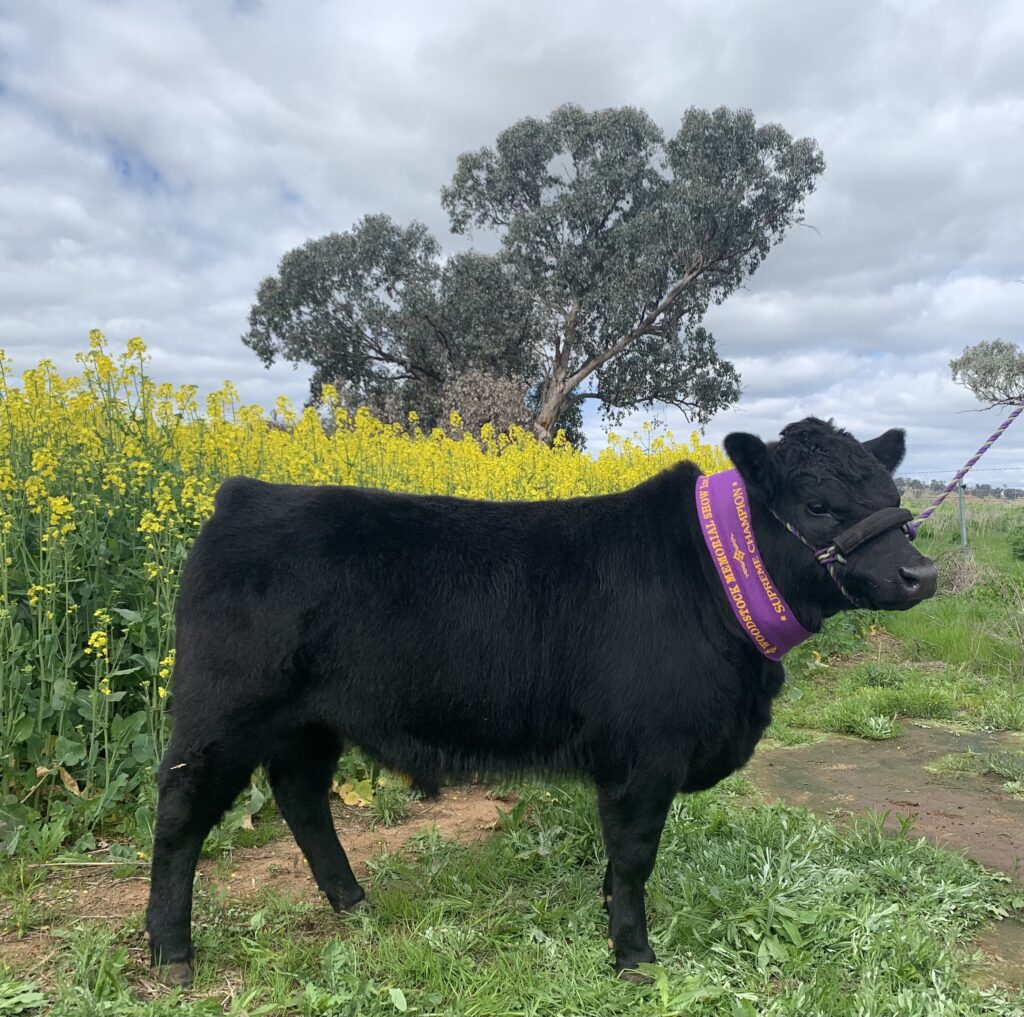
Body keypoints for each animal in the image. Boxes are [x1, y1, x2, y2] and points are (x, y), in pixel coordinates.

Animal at [146, 417, 937, 986]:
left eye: (894, 501)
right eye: (817, 503)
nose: (920, 573)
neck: (712, 583)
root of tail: (246, 492)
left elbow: (618, 858)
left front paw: (610, 918)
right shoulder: (646, 755)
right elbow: (636, 852)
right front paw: (634, 956)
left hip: (310, 720)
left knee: (302, 796)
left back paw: (352, 901)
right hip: (221, 710)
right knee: (181, 815)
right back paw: (171, 952)